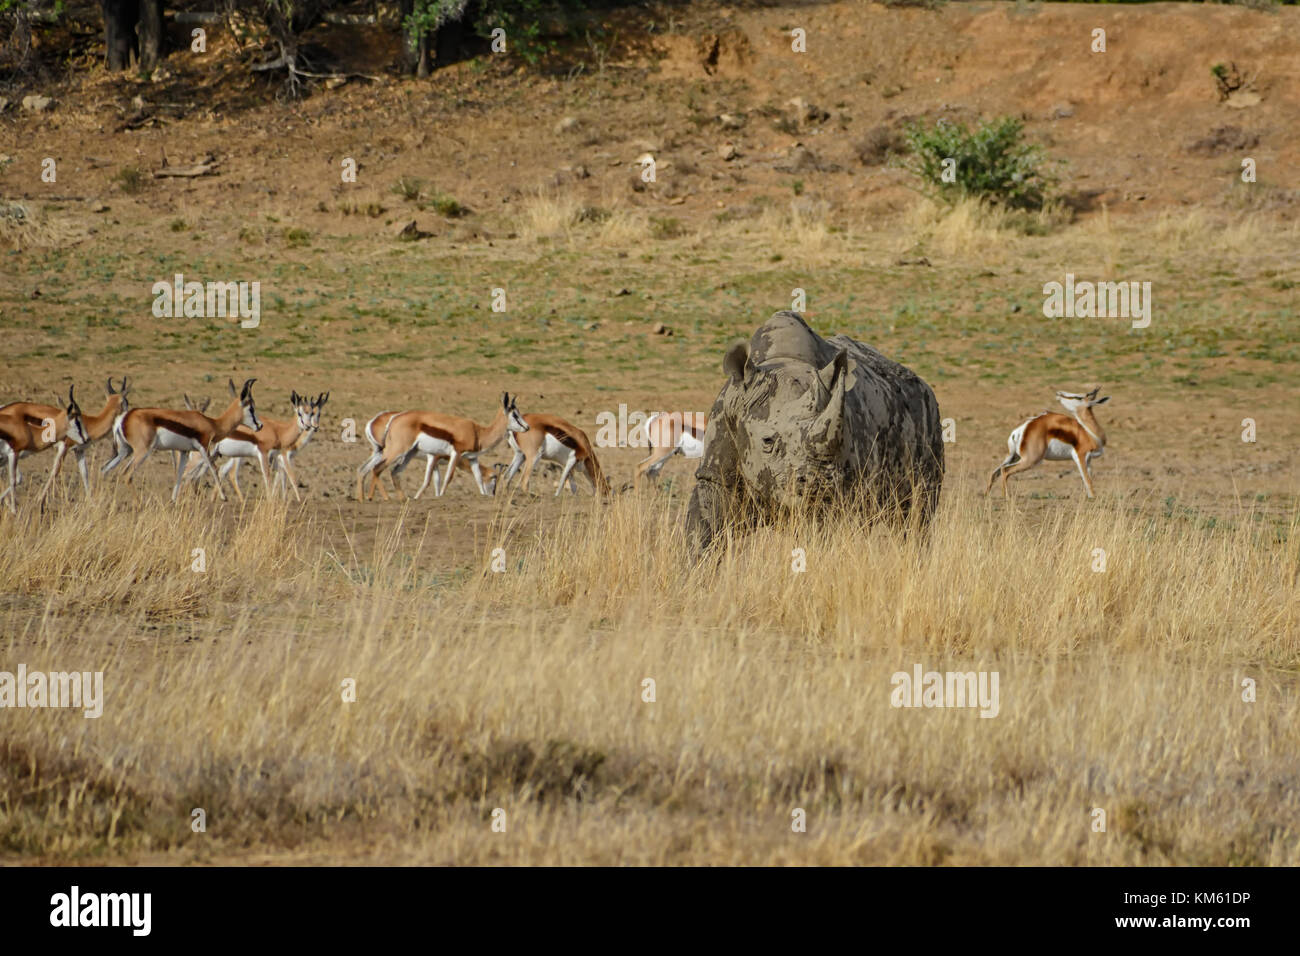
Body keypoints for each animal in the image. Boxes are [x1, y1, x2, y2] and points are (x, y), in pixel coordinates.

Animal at [685, 311, 944, 553]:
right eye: (767, 441)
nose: (817, 482)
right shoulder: (716, 475)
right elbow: (703, 532)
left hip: (929, 416)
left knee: (914, 519)